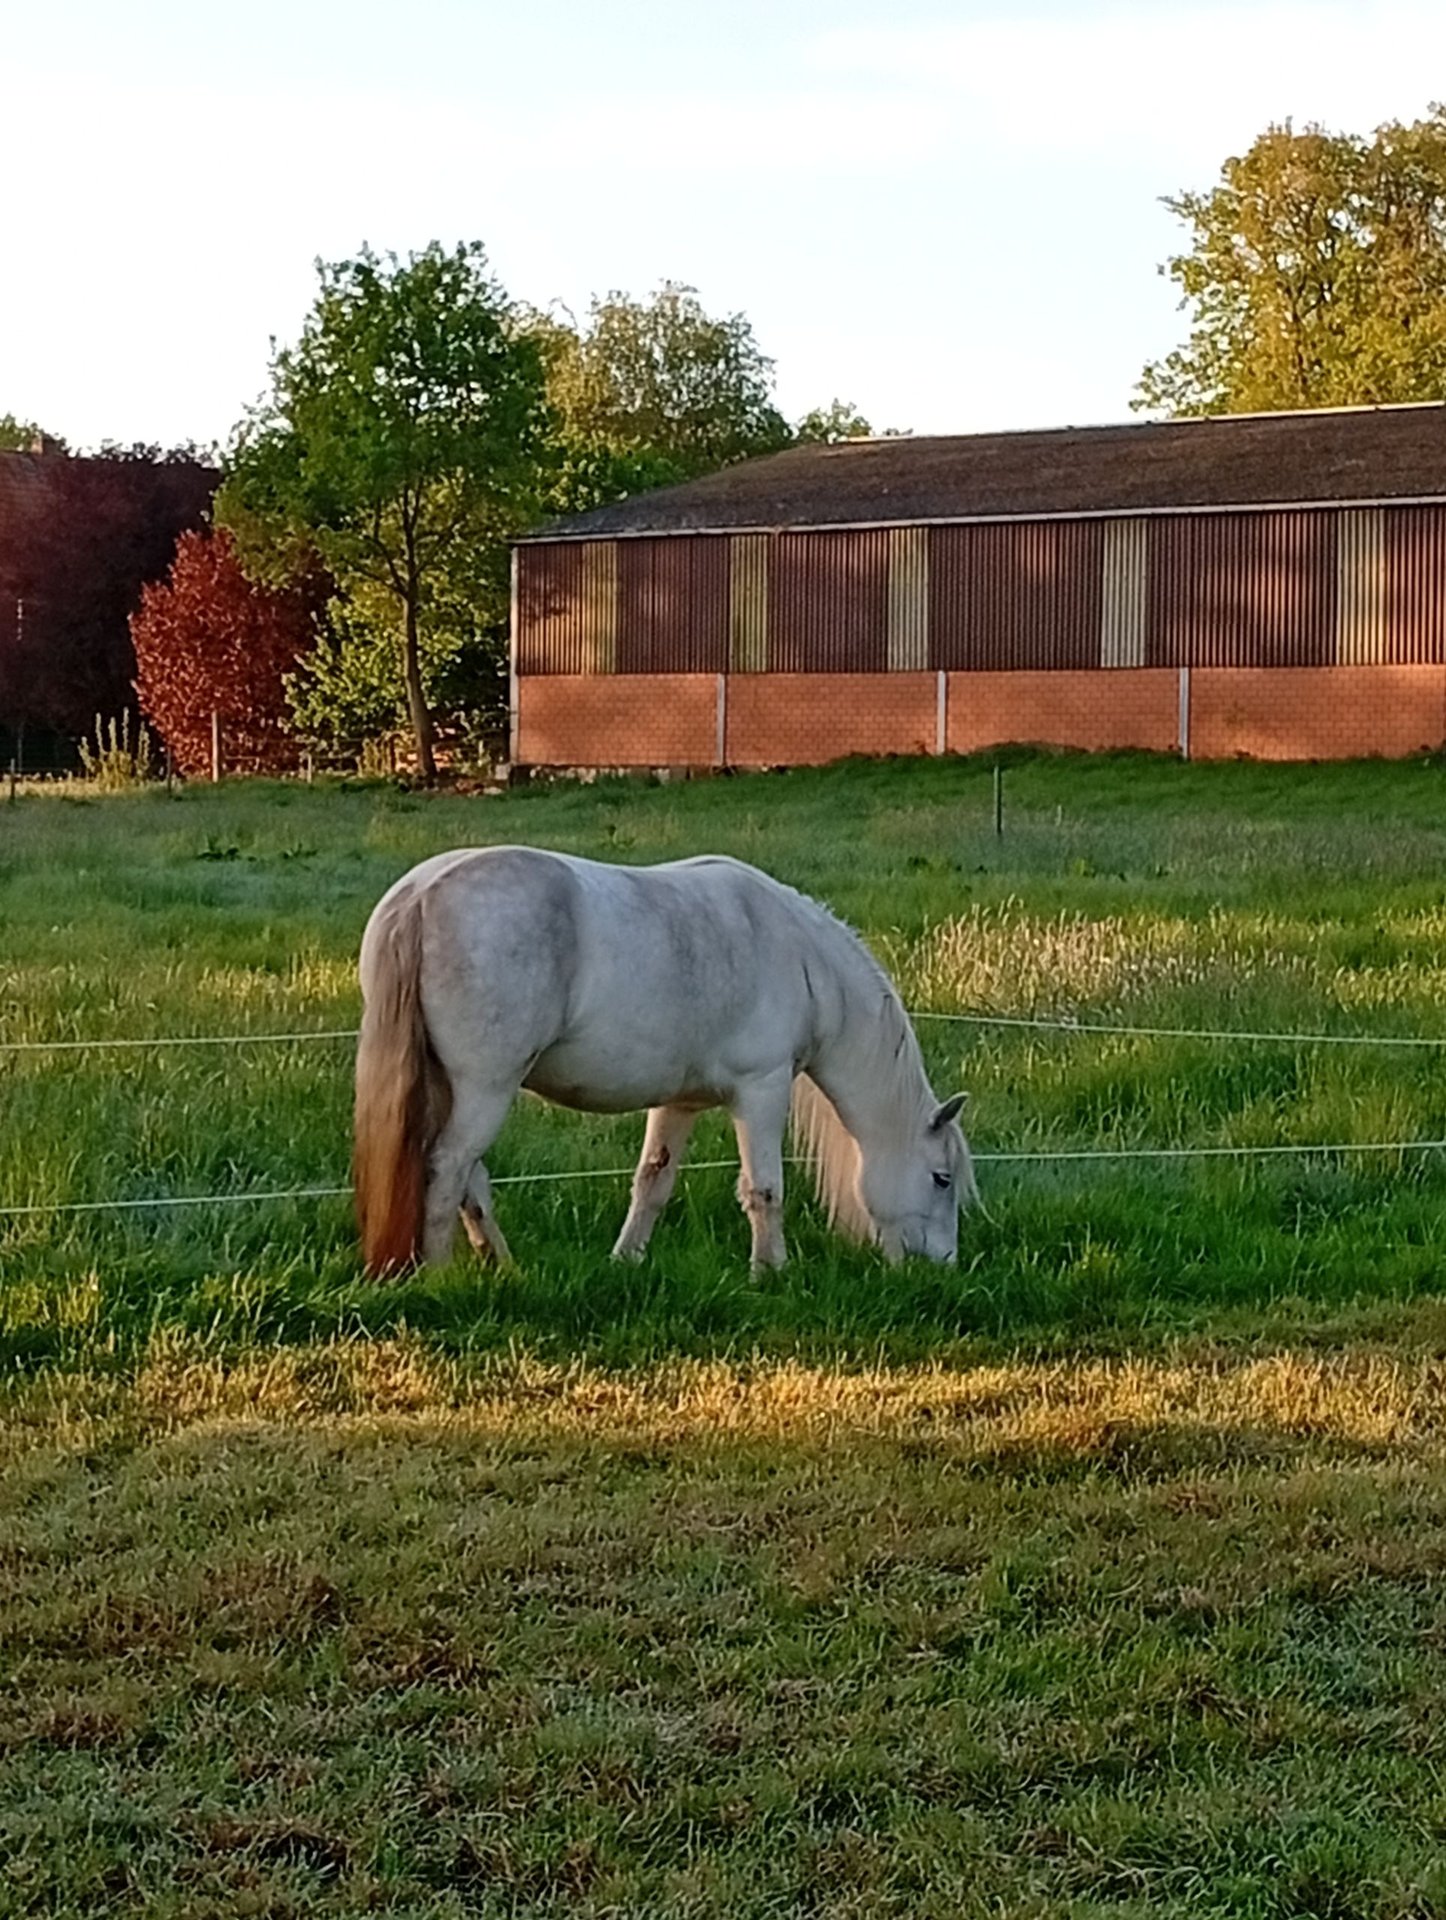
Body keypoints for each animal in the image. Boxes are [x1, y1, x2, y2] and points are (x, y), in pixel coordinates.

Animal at [353, 846, 976, 1276]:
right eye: (941, 1179)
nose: (941, 1267)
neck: (799, 957)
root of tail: (421, 896)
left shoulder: (681, 1101)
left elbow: (653, 1181)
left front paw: (625, 1260)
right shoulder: (761, 1089)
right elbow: (764, 1189)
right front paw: (770, 1272)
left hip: (457, 1088)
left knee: (470, 1180)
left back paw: (506, 1268)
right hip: (486, 1087)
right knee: (448, 1170)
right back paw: (439, 1276)